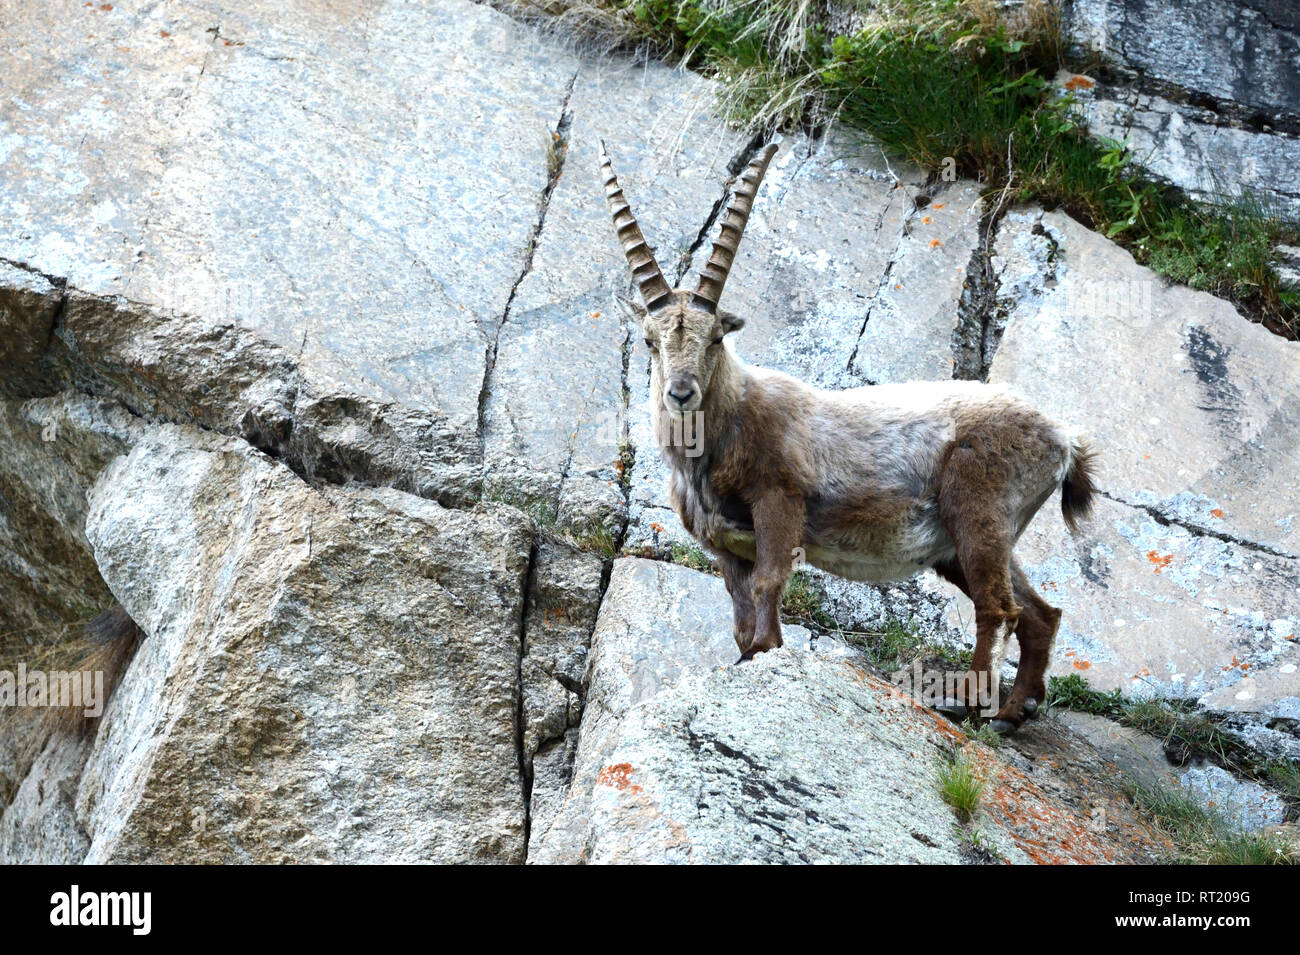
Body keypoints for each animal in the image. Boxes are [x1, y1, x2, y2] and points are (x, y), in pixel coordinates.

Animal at [601, 141, 1095, 733]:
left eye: (716, 337)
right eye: (650, 341)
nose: (680, 392)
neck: (726, 432)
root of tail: (1062, 440)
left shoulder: (780, 503)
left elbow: (769, 586)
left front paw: (765, 656)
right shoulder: (725, 546)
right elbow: (740, 610)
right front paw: (748, 657)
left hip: (980, 509)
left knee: (998, 606)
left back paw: (975, 705)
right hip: (965, 542)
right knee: (1041, 612)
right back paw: (1016, 710)